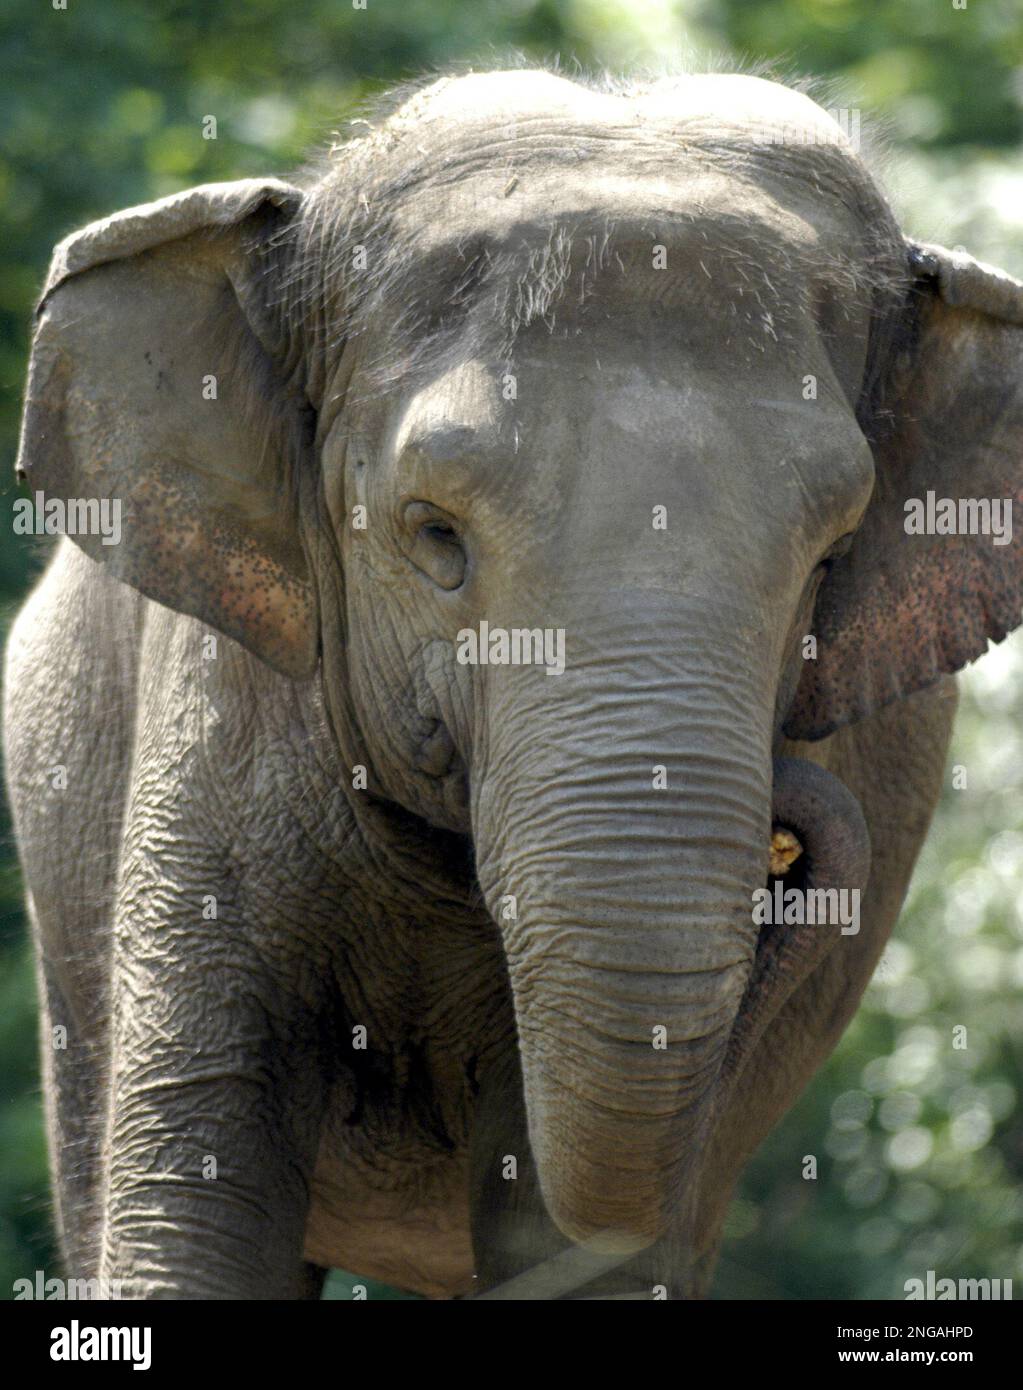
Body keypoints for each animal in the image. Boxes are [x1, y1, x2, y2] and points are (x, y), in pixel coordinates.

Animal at [5, 67, 1023, 1301]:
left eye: (830, 559)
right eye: (433, 534)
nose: (786, 831)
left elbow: (572, 1235)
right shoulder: (212, 732)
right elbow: (193, 1202)